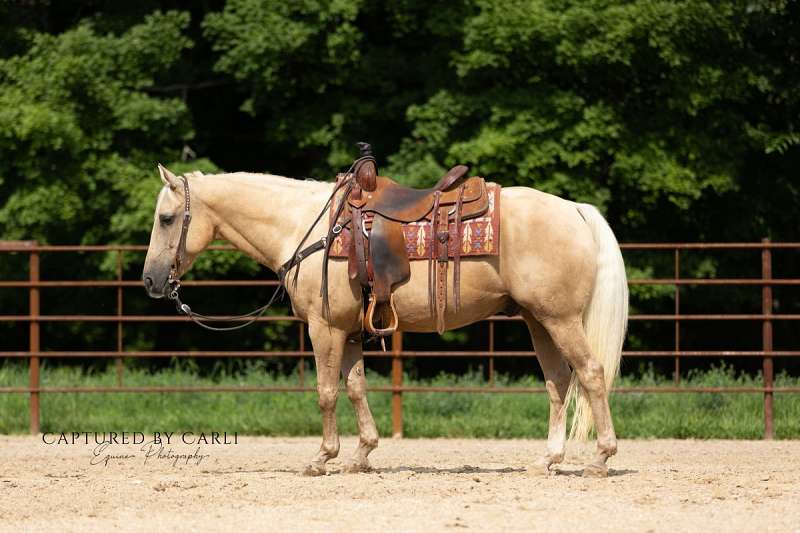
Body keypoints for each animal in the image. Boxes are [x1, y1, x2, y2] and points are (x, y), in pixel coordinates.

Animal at [142, 164, 628, 477]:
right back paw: (547, 460)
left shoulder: (324, 328)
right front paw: (361, 454)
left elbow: (326, 392)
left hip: (560, 319)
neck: (303, 227)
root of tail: (575, 209)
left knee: (590, 373)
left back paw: (600, 460)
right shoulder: (351, 331)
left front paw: (322, 457)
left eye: (166, 218)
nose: (150, 280)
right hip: (538, 320)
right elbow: (356, 388)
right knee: (558, 383)